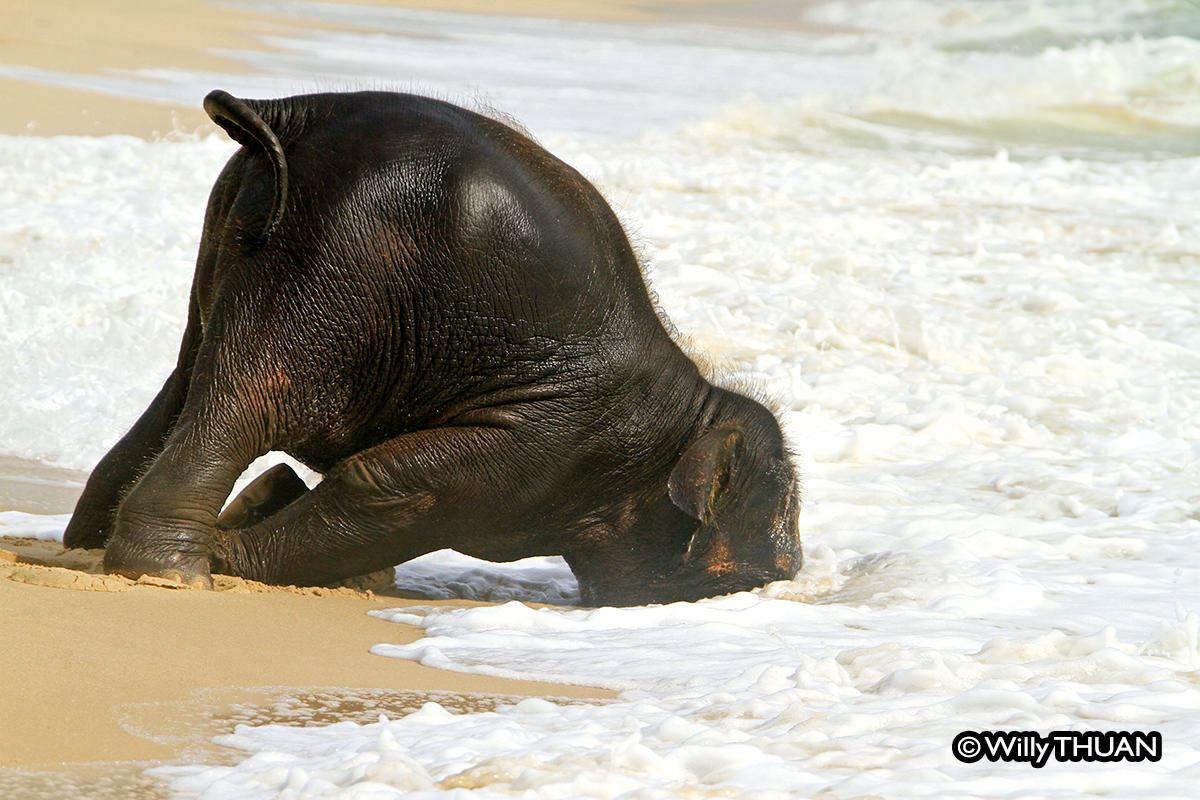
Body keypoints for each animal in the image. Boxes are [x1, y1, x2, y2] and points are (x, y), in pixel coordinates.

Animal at [62, 89, 801, 606]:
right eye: (763, 577)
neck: (690, 408)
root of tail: (294, 114)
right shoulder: (549, 437)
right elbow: (396, 485)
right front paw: (234, 547)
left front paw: (269, 516)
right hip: (335, 265)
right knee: (253, 400)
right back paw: (173, 575)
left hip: (240, 235)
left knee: (186, 380)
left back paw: (91, 548)